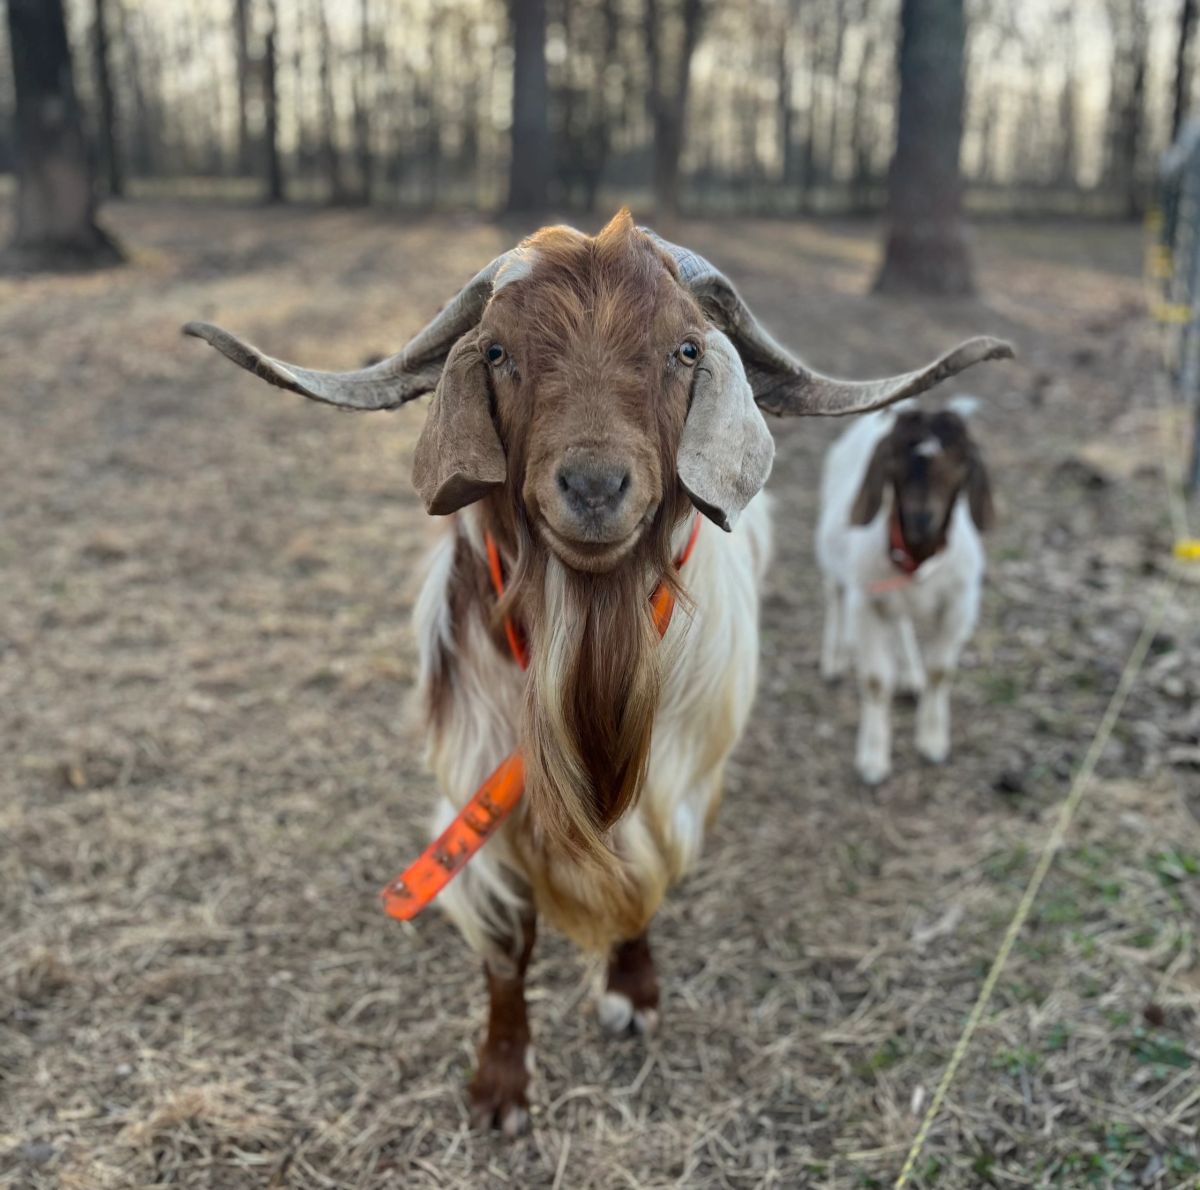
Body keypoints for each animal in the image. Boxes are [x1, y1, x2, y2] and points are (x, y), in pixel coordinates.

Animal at [816, 401, 995, 785]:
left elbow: (940, 671)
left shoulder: (959, 606)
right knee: (834, 592)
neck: (917, 556)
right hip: (831, 550)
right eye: (893, 460)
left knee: (901, 622)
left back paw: (911, 676)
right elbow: (875, 681)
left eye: (961, 462)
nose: (921, 518)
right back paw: (834, 659)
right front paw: (872, 760)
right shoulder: (866, 604)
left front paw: (932, 742)